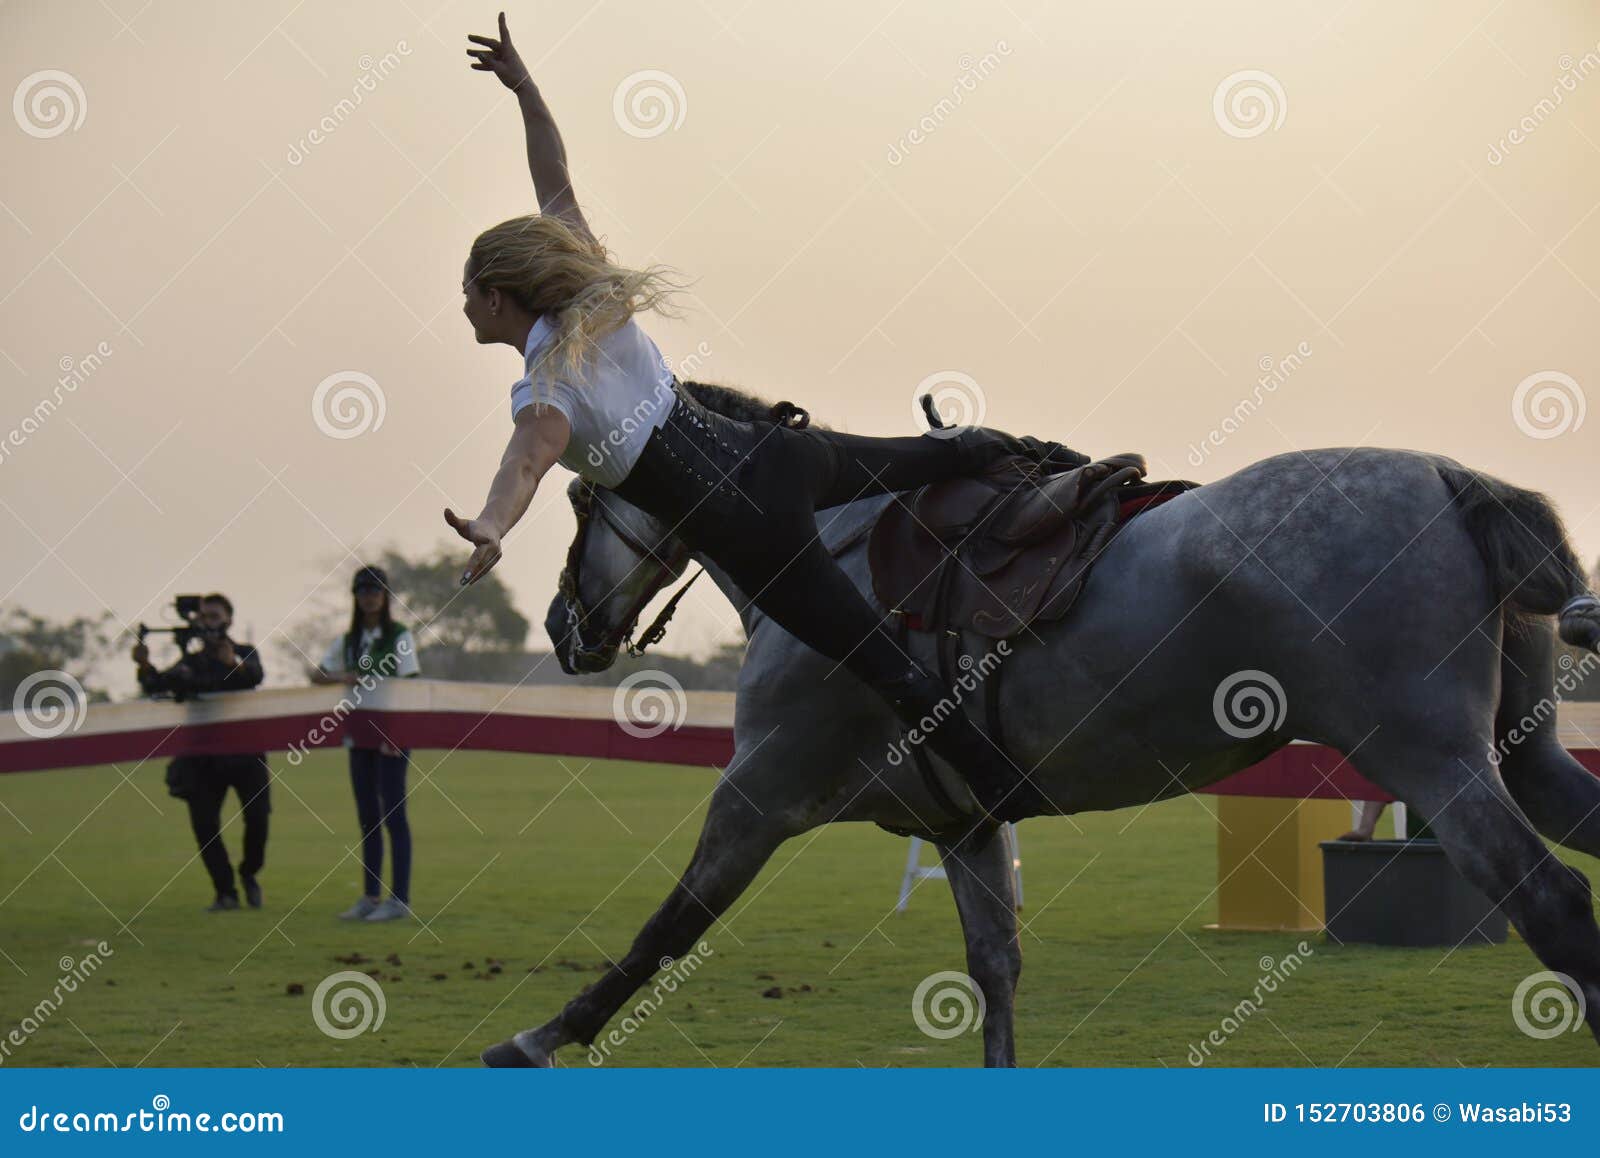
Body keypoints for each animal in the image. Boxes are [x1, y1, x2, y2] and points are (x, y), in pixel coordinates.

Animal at [480, 381, 1600, 1068]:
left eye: (578, 498)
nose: (567, 626)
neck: (814, 538)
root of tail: (1451, 477)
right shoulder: (966, 827)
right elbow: (996, 976)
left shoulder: (758, 798)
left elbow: (664, 931)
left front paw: (535, 1039)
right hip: (1522, 757)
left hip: (1432, 763)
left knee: (1552, 902)